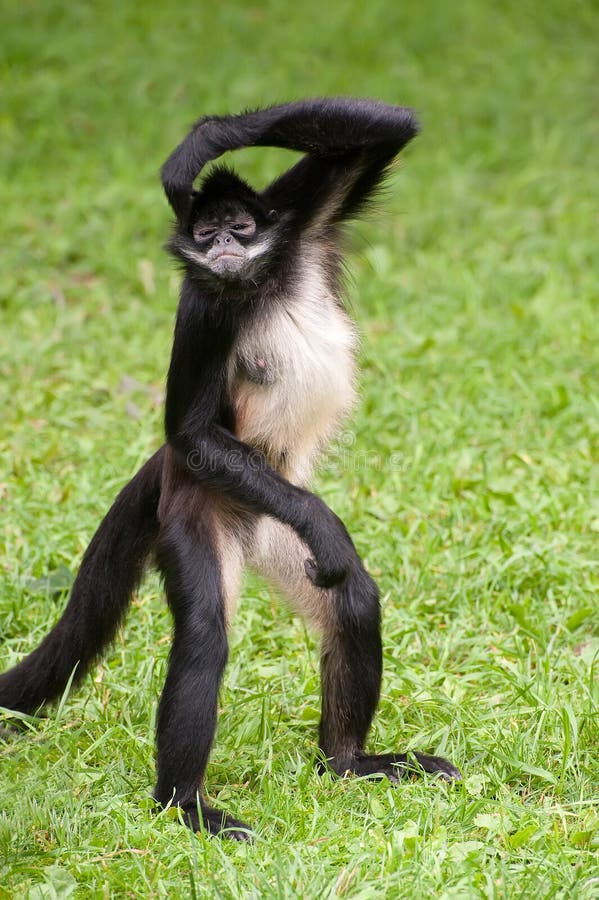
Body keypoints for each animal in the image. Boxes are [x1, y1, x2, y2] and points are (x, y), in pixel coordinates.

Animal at [0, 99, 461, 840]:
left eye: (239, 228)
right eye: (205, 232)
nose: (219, 245)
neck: (256, 279)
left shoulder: (298, 222)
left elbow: (387, 124)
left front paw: (202, 144)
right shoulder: (203, 305)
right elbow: (190, 431)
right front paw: (325, 523)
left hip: (267, 519)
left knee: (353, 598)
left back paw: (347, 764)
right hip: (201, 505)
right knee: (205, 637)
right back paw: (184, 804)